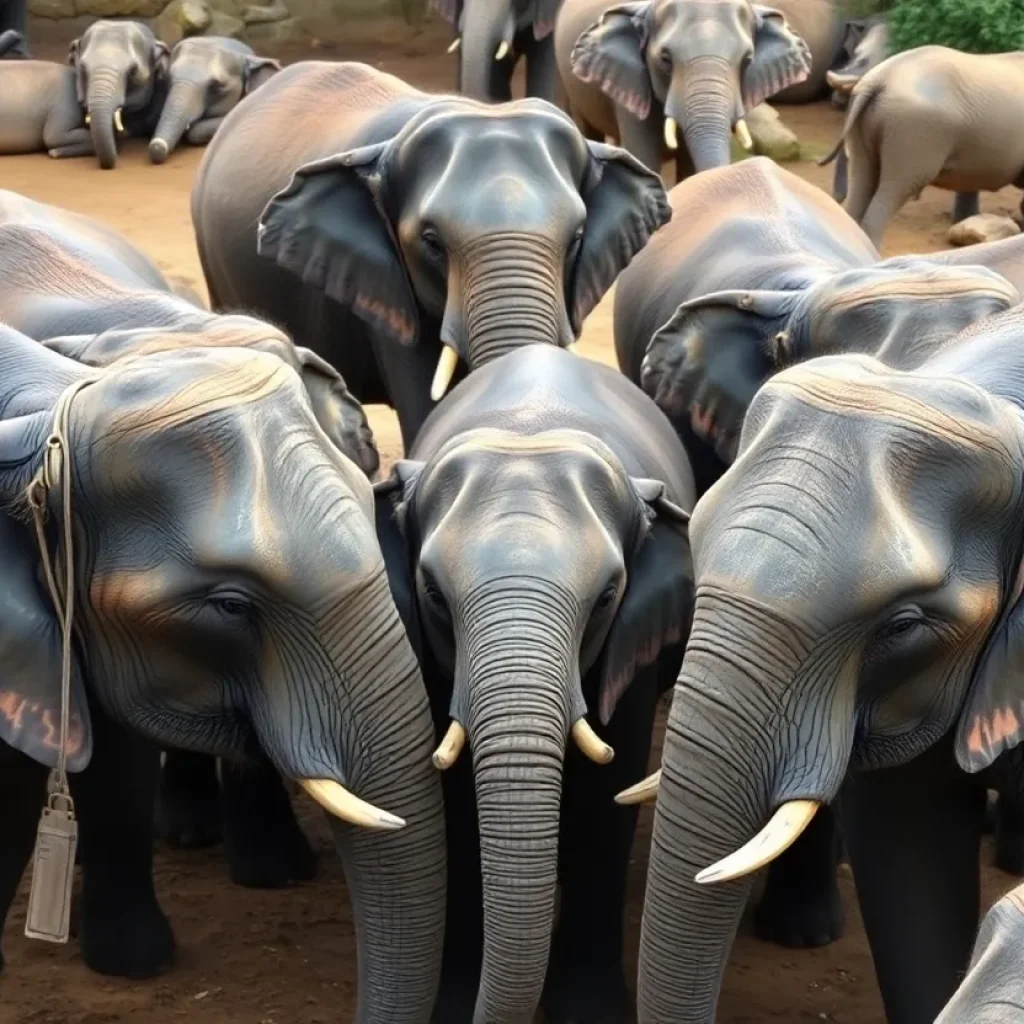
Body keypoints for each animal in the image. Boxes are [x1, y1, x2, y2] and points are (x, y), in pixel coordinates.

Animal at [374, 343, 695, 1023]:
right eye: (433, 595)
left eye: (606, 597)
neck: (529, 429)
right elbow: (457, 807)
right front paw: (454, 1005)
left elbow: (608, 795)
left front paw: (591, 1013)